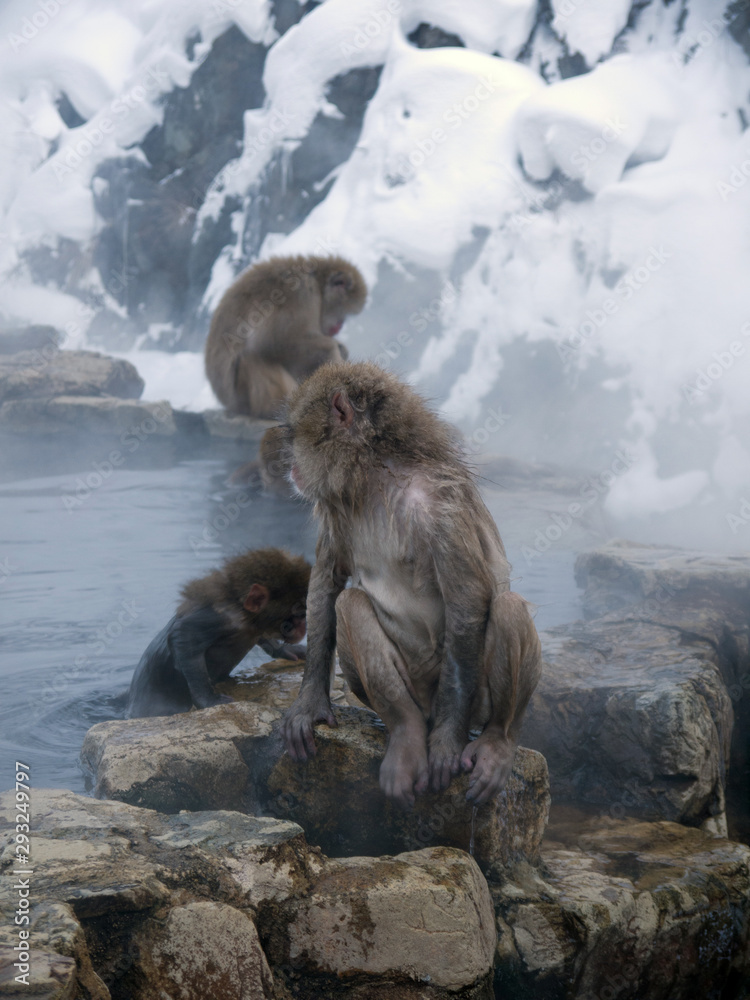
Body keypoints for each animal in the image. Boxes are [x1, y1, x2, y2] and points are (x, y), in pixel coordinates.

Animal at [127, 548, 311, 718]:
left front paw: (285, 650)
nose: (304, 625)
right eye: (300, 614)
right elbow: (183, 634)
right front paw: (207, 700)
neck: (244, 613)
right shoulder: (224, 618)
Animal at [205, 255, 367, 419]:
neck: (316, 281)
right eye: (344, 312)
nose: (340, 325)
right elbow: (274, 342)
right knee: (251, 355)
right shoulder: (301, 293)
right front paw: (335, 352)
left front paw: (342, 350)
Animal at [280, 362, 542, 809]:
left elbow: (467, 605)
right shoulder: (336, 502)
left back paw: (494, 741)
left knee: (507, 608)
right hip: (417, 692)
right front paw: (310, 703)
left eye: (297, 434)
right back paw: (407, 730)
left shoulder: (442, 506)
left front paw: (447, 744)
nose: (292, 465)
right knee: (350, 605)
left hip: (475, 700)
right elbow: (327, 583)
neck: (378, 475)